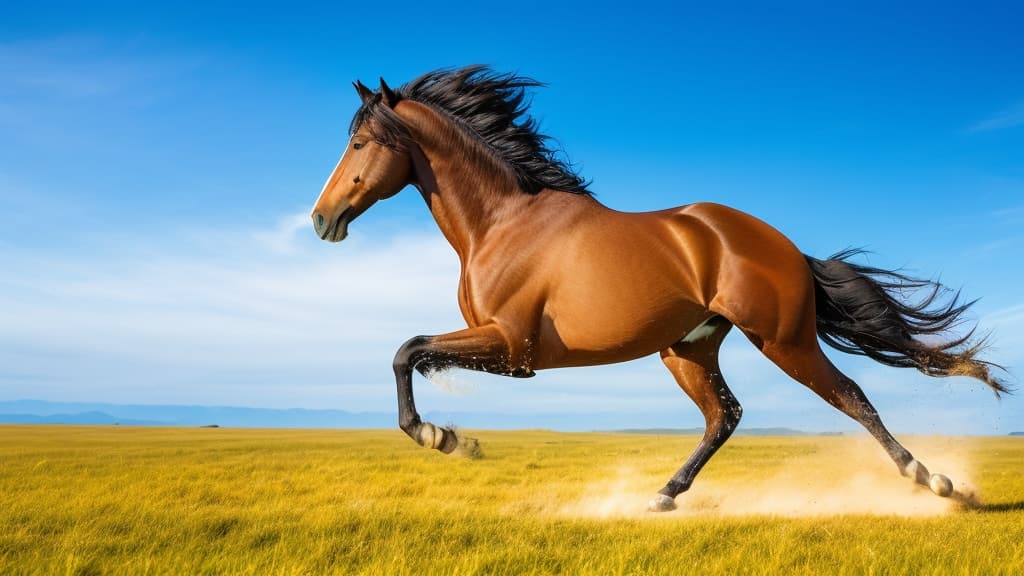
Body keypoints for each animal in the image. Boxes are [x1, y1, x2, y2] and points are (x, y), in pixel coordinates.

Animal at [310, 66, 1007, 512]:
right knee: (725, 416)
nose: (321, 219)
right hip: (688, 349)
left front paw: (444, 438)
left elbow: (406, 350)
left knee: (852, 397)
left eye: (359, 142)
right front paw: (450, 437)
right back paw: (665, 494)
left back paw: (934, 480)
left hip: (783, 341)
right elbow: (410, 353)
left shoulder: (511, 348)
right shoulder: (503, 347)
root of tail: (785, 246)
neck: (503, 224)